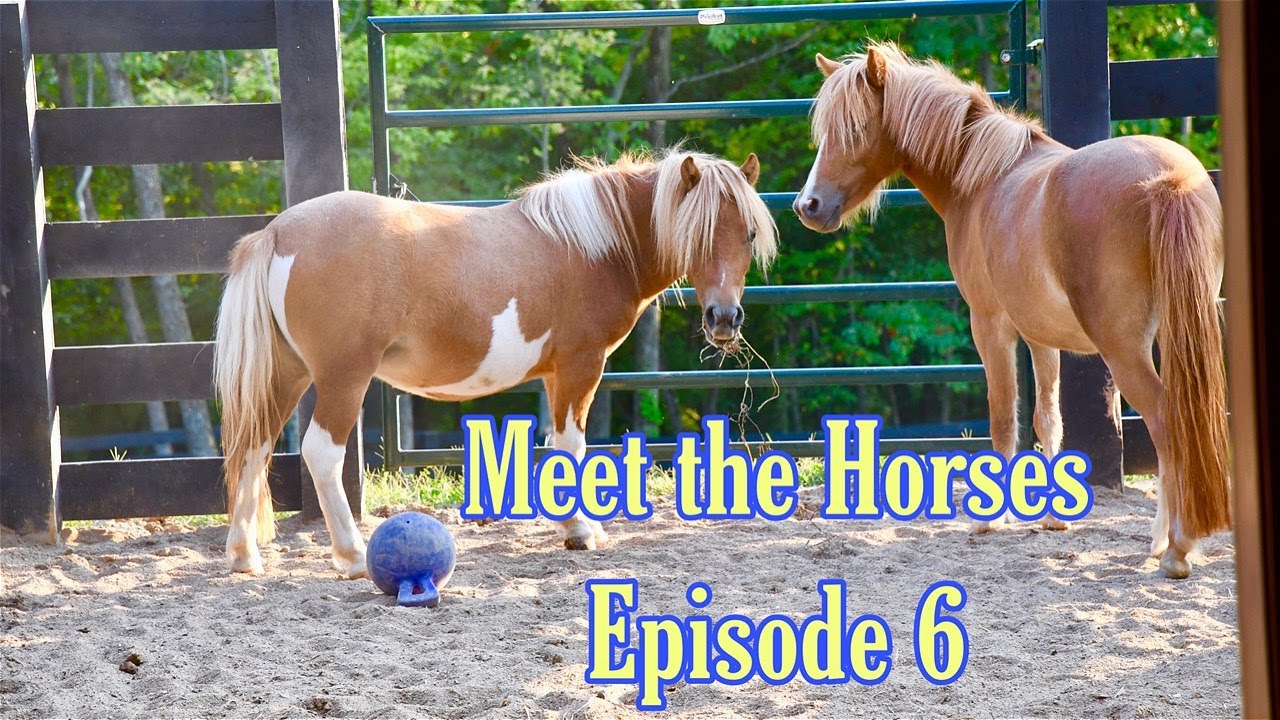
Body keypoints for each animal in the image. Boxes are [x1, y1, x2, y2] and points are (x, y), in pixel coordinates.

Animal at [214, 149, 776, 576]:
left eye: (748, 235)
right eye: (699, 232)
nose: (725, 318)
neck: (594, 247)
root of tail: (279, 231)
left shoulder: (554, 375)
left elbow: (556, 448)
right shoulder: (581, 366)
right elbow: (573, 446)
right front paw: (582, 531)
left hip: (288, 374)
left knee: (253, 448)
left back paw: (244, 556)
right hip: (342, 376)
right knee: (322, 454)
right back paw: (352, 555)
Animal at [794, 43, 1227, 579]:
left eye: (853, 128)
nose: (807, 206)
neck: (982, 179)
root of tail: (1170, 181)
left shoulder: (990, 325)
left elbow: (1003, 419)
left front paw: (988, 519)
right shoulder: (1040, 334)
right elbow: (1047, 419)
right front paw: (1054, 518)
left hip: (1125, 351)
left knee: (1167, 423)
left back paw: (1175, 547)